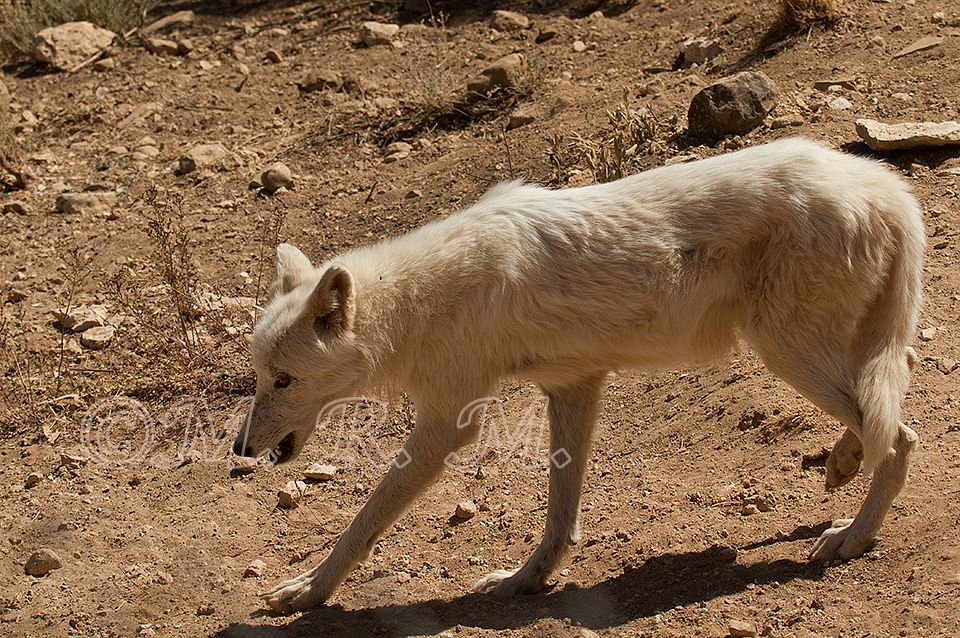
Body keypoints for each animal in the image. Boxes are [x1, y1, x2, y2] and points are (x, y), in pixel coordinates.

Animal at [233, 138, 924, 613]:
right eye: (259, 376)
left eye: (284, 381)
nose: (239, 448)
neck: (418, 301)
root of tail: (888, 187)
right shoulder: (574, 386)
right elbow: (560, 519)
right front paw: (525, 581)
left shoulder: (447, 425)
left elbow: (363, 522)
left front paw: (307, 591)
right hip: (813, 349)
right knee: (883, 417)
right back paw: (842, 463)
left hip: (784, 350)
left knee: (900, 436)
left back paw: (852, 536)